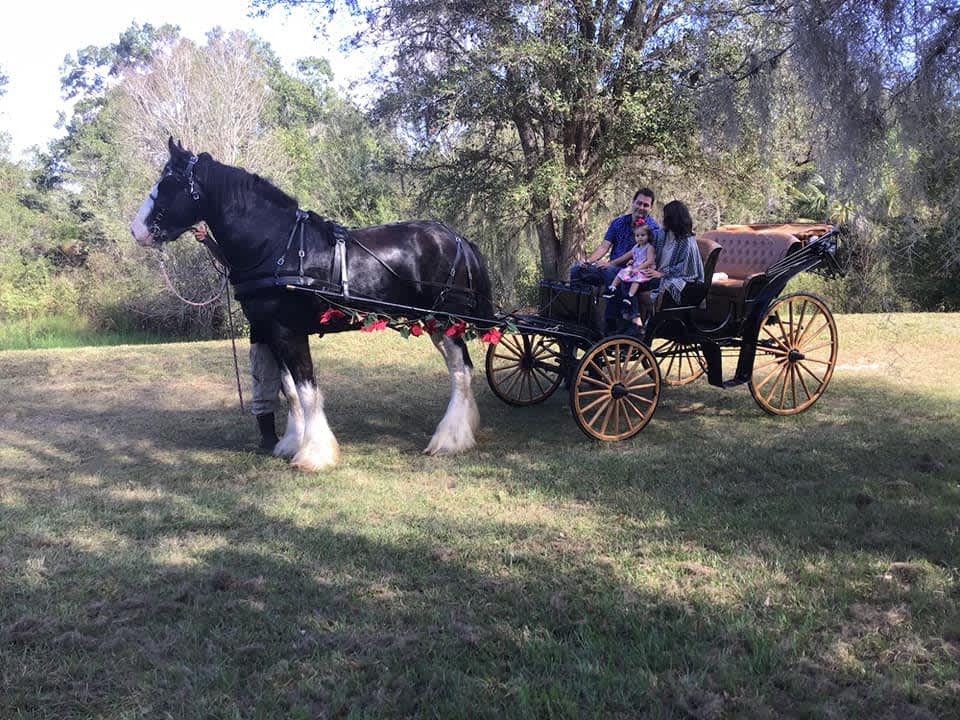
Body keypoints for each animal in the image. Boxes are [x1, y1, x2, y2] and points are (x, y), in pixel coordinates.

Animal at [130, 138, 494, 471]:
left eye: (168, 184)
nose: (136, 229)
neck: (276, 246)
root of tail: (457, 239)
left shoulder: (288, 332)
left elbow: (307, 391)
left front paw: (314, 455)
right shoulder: (272, 333)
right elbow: (291, 391)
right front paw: (292, 443)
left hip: (447, 321)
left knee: (461, 371)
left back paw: (450, 439)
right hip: (437, 323)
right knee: (459, 369)